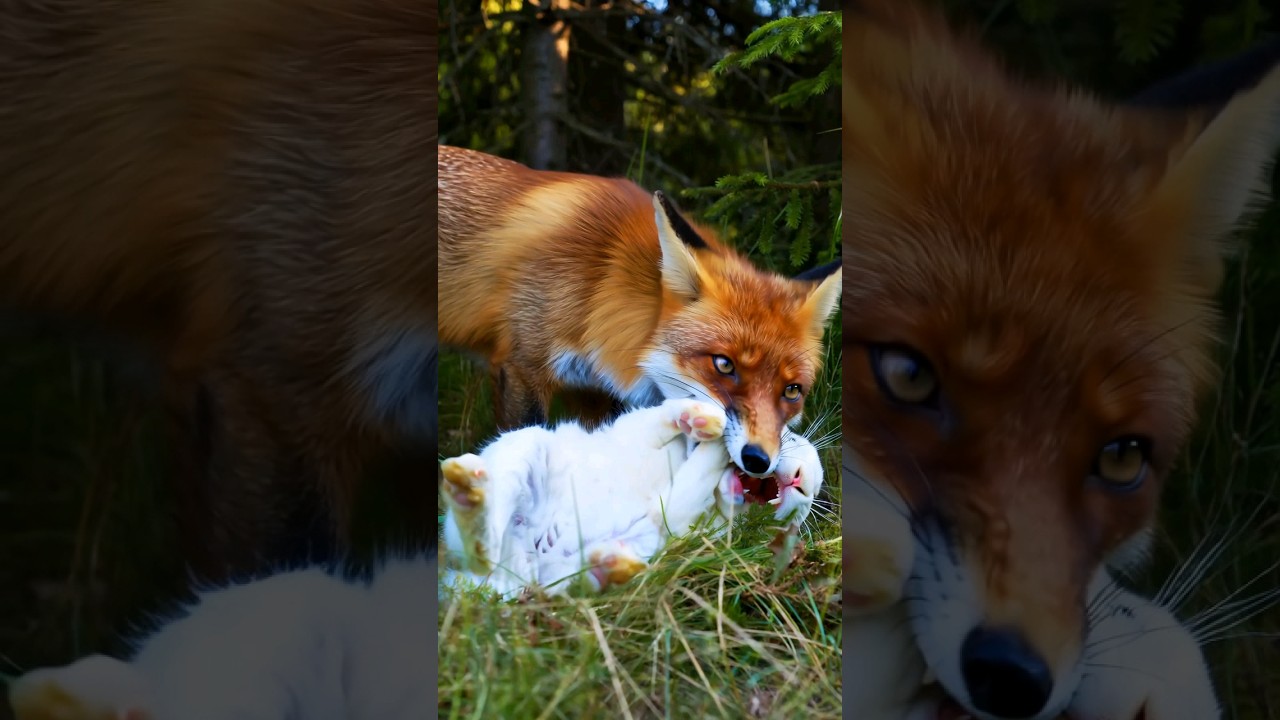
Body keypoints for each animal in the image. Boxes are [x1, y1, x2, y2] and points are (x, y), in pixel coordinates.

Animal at [438, 145, 841, 478]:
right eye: (724, 365)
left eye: (792, 391)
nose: (758, 460)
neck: (598, 286)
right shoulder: (522, 367)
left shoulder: (594, 391)